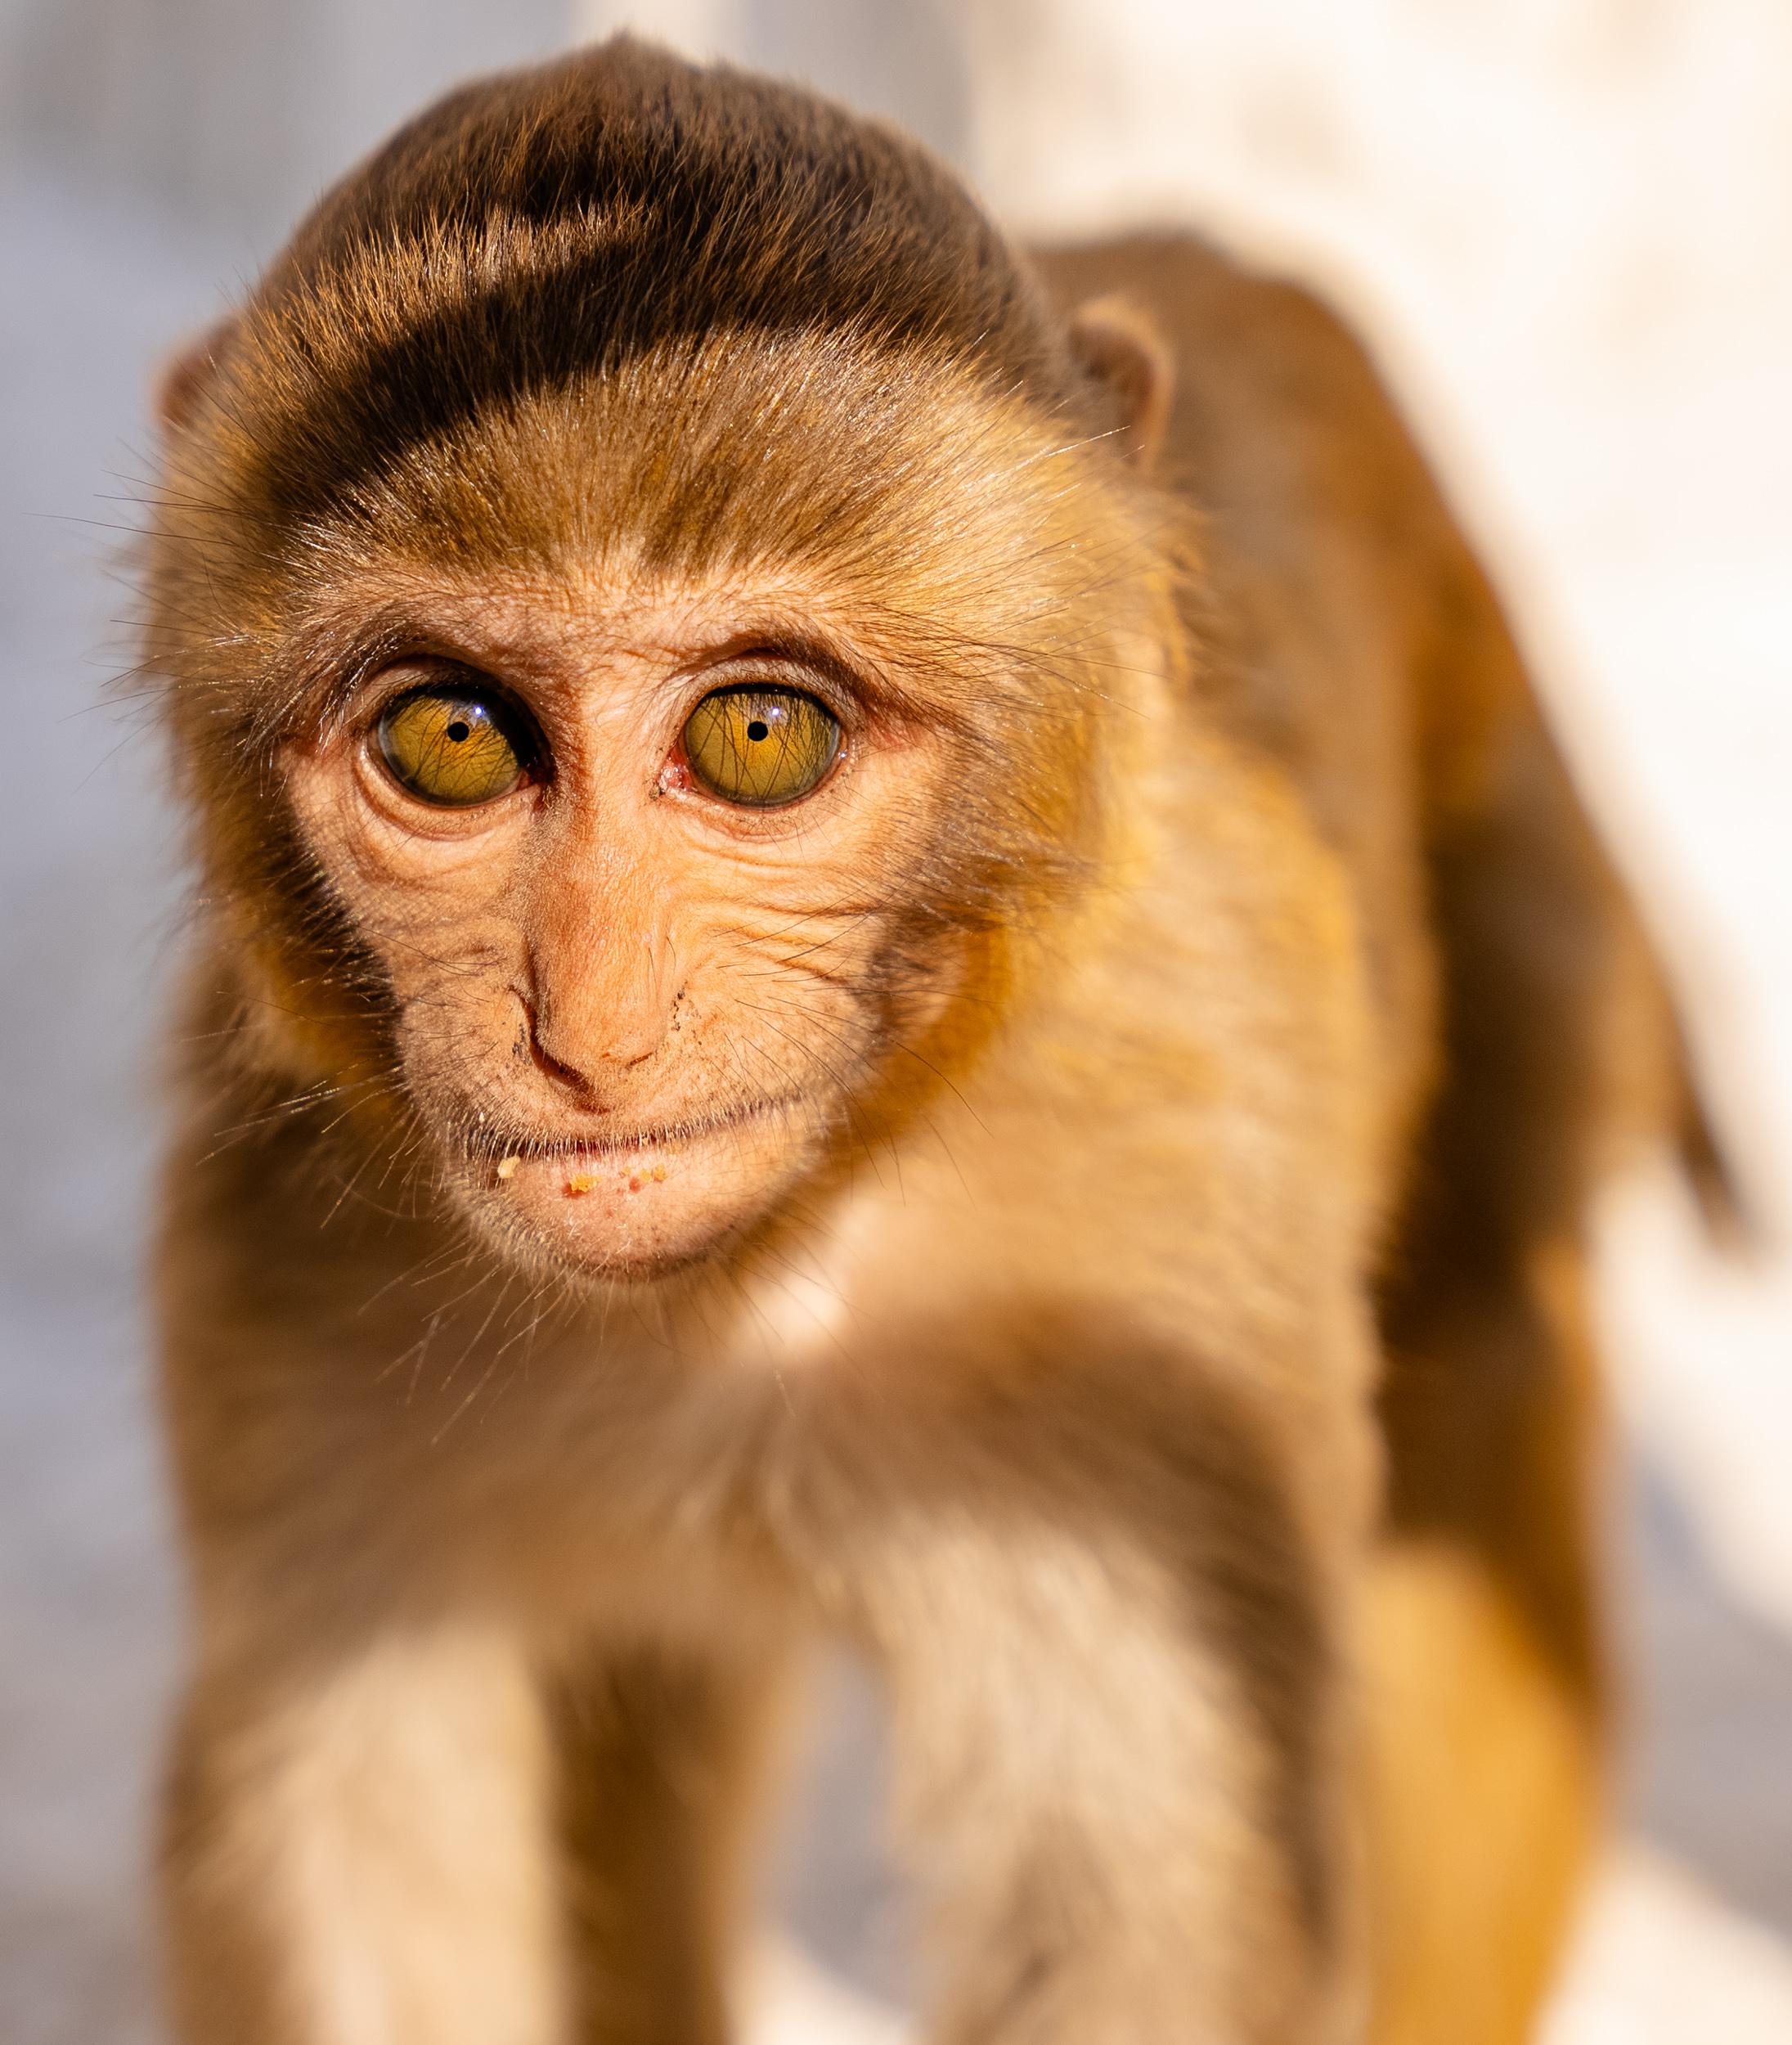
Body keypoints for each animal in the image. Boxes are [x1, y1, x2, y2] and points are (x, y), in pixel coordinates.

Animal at [140, 36, 1718, 2045]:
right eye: (451, 738)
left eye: (755, 737)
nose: (589, 1028)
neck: (775, 1258)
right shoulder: (286, 1258)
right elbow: (367, 1842)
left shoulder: (1162, 1237)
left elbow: (1142, 1909)